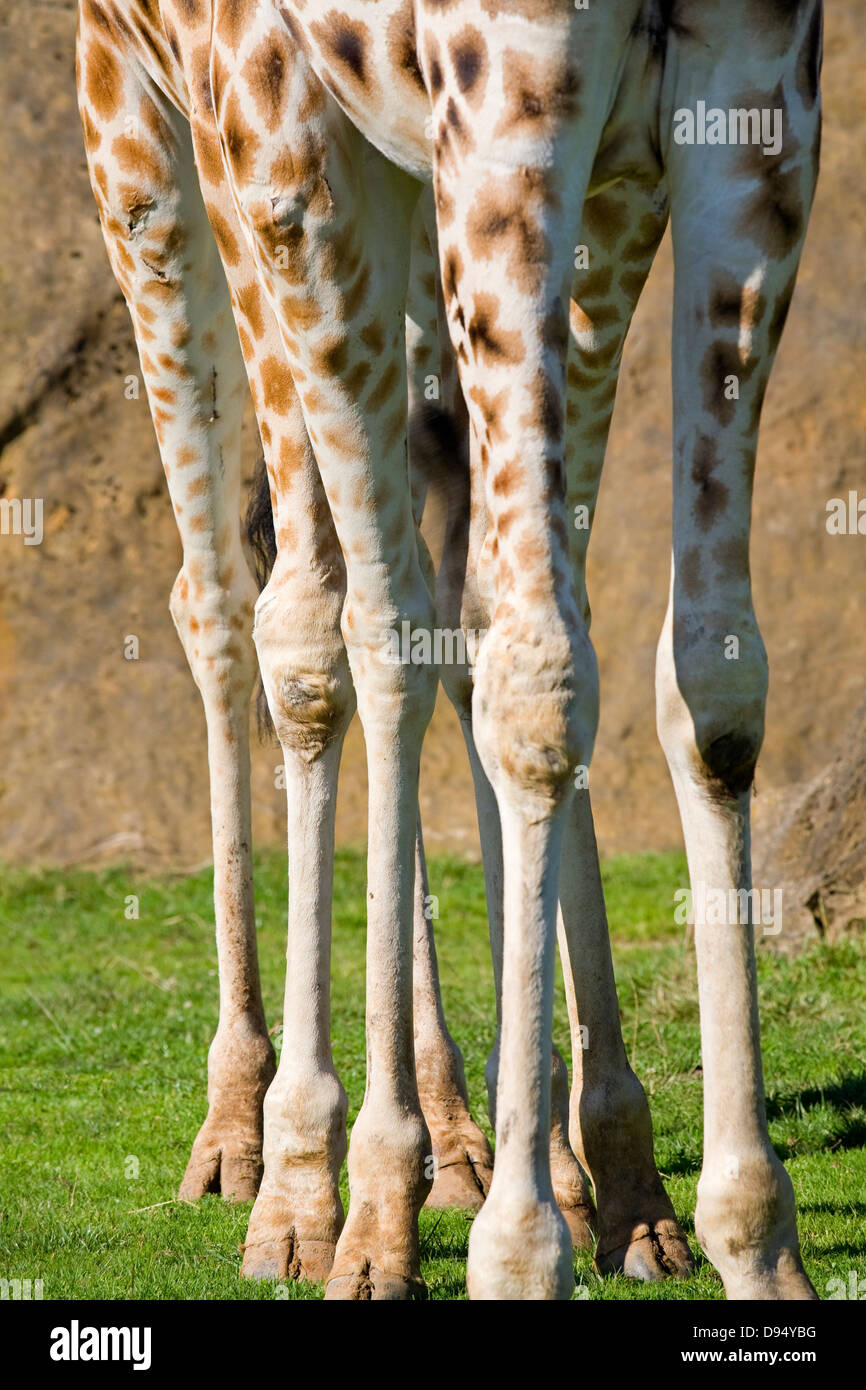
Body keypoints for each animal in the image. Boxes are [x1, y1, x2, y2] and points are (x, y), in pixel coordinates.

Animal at [75, 0, 823, 1301]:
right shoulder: (416, 124)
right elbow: (439, 661)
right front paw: (493, 1238)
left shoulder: (752, 115)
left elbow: (706, 678)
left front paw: (737, 1233)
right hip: (173, 147)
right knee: (247, 608)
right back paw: (266, 1153)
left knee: (423, 609)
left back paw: (477, 1149)